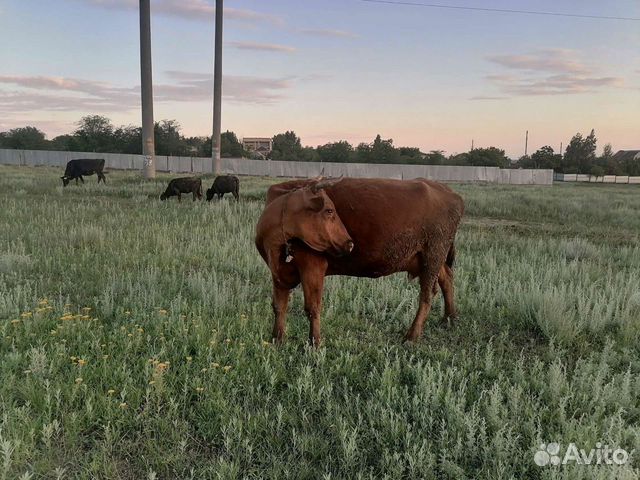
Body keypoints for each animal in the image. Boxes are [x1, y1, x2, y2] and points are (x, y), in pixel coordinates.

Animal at [255, 177, 464, 346]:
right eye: (329, 211)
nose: (349, 243)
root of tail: (449, 192)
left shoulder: (312, 266)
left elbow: (312, 307)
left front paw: (315, 344)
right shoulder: (277, 273)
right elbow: (279, 306)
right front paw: (277, 339)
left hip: (433, 255)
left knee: (427, 295)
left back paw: (412, 336)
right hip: (430, 259)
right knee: (447, 278)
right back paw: (449, 318)